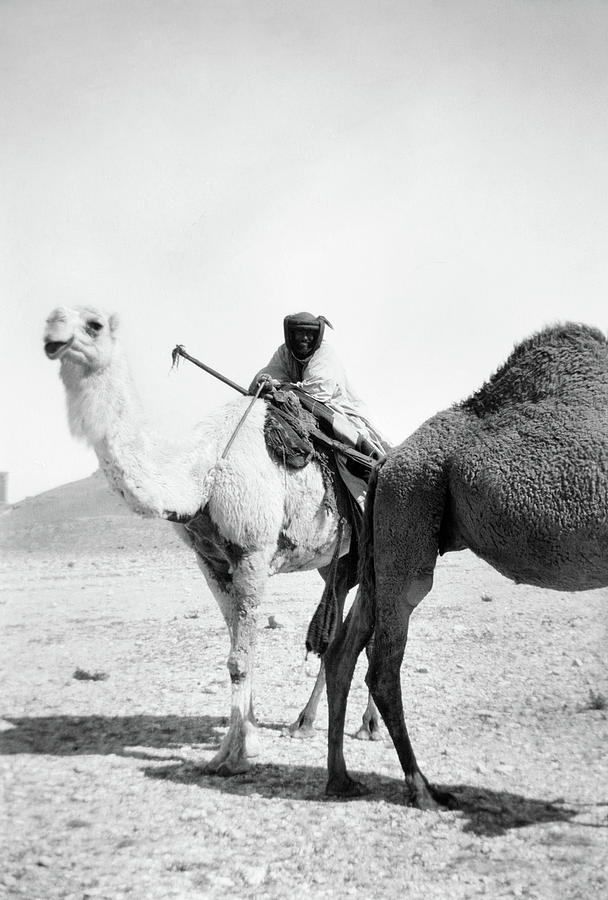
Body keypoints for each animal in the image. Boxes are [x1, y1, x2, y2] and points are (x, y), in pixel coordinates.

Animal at [43, 305, 381, 776]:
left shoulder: (253, 553)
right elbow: (239, 647)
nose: (53, 338)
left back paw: (368, 725)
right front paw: (244, 741)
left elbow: (240, 658)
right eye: (50, 317)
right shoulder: (212, 563)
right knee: (345, 626)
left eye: (93, 324)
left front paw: (234, 755)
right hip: (338, 559)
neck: (203, 474)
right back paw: (304, 722)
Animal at [324, 321, 608, 810]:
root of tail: (385, 461)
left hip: (388, 533)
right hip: (410, 506)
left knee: (344, 651)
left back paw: (340, 779)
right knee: (383, 666)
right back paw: (423, 789)